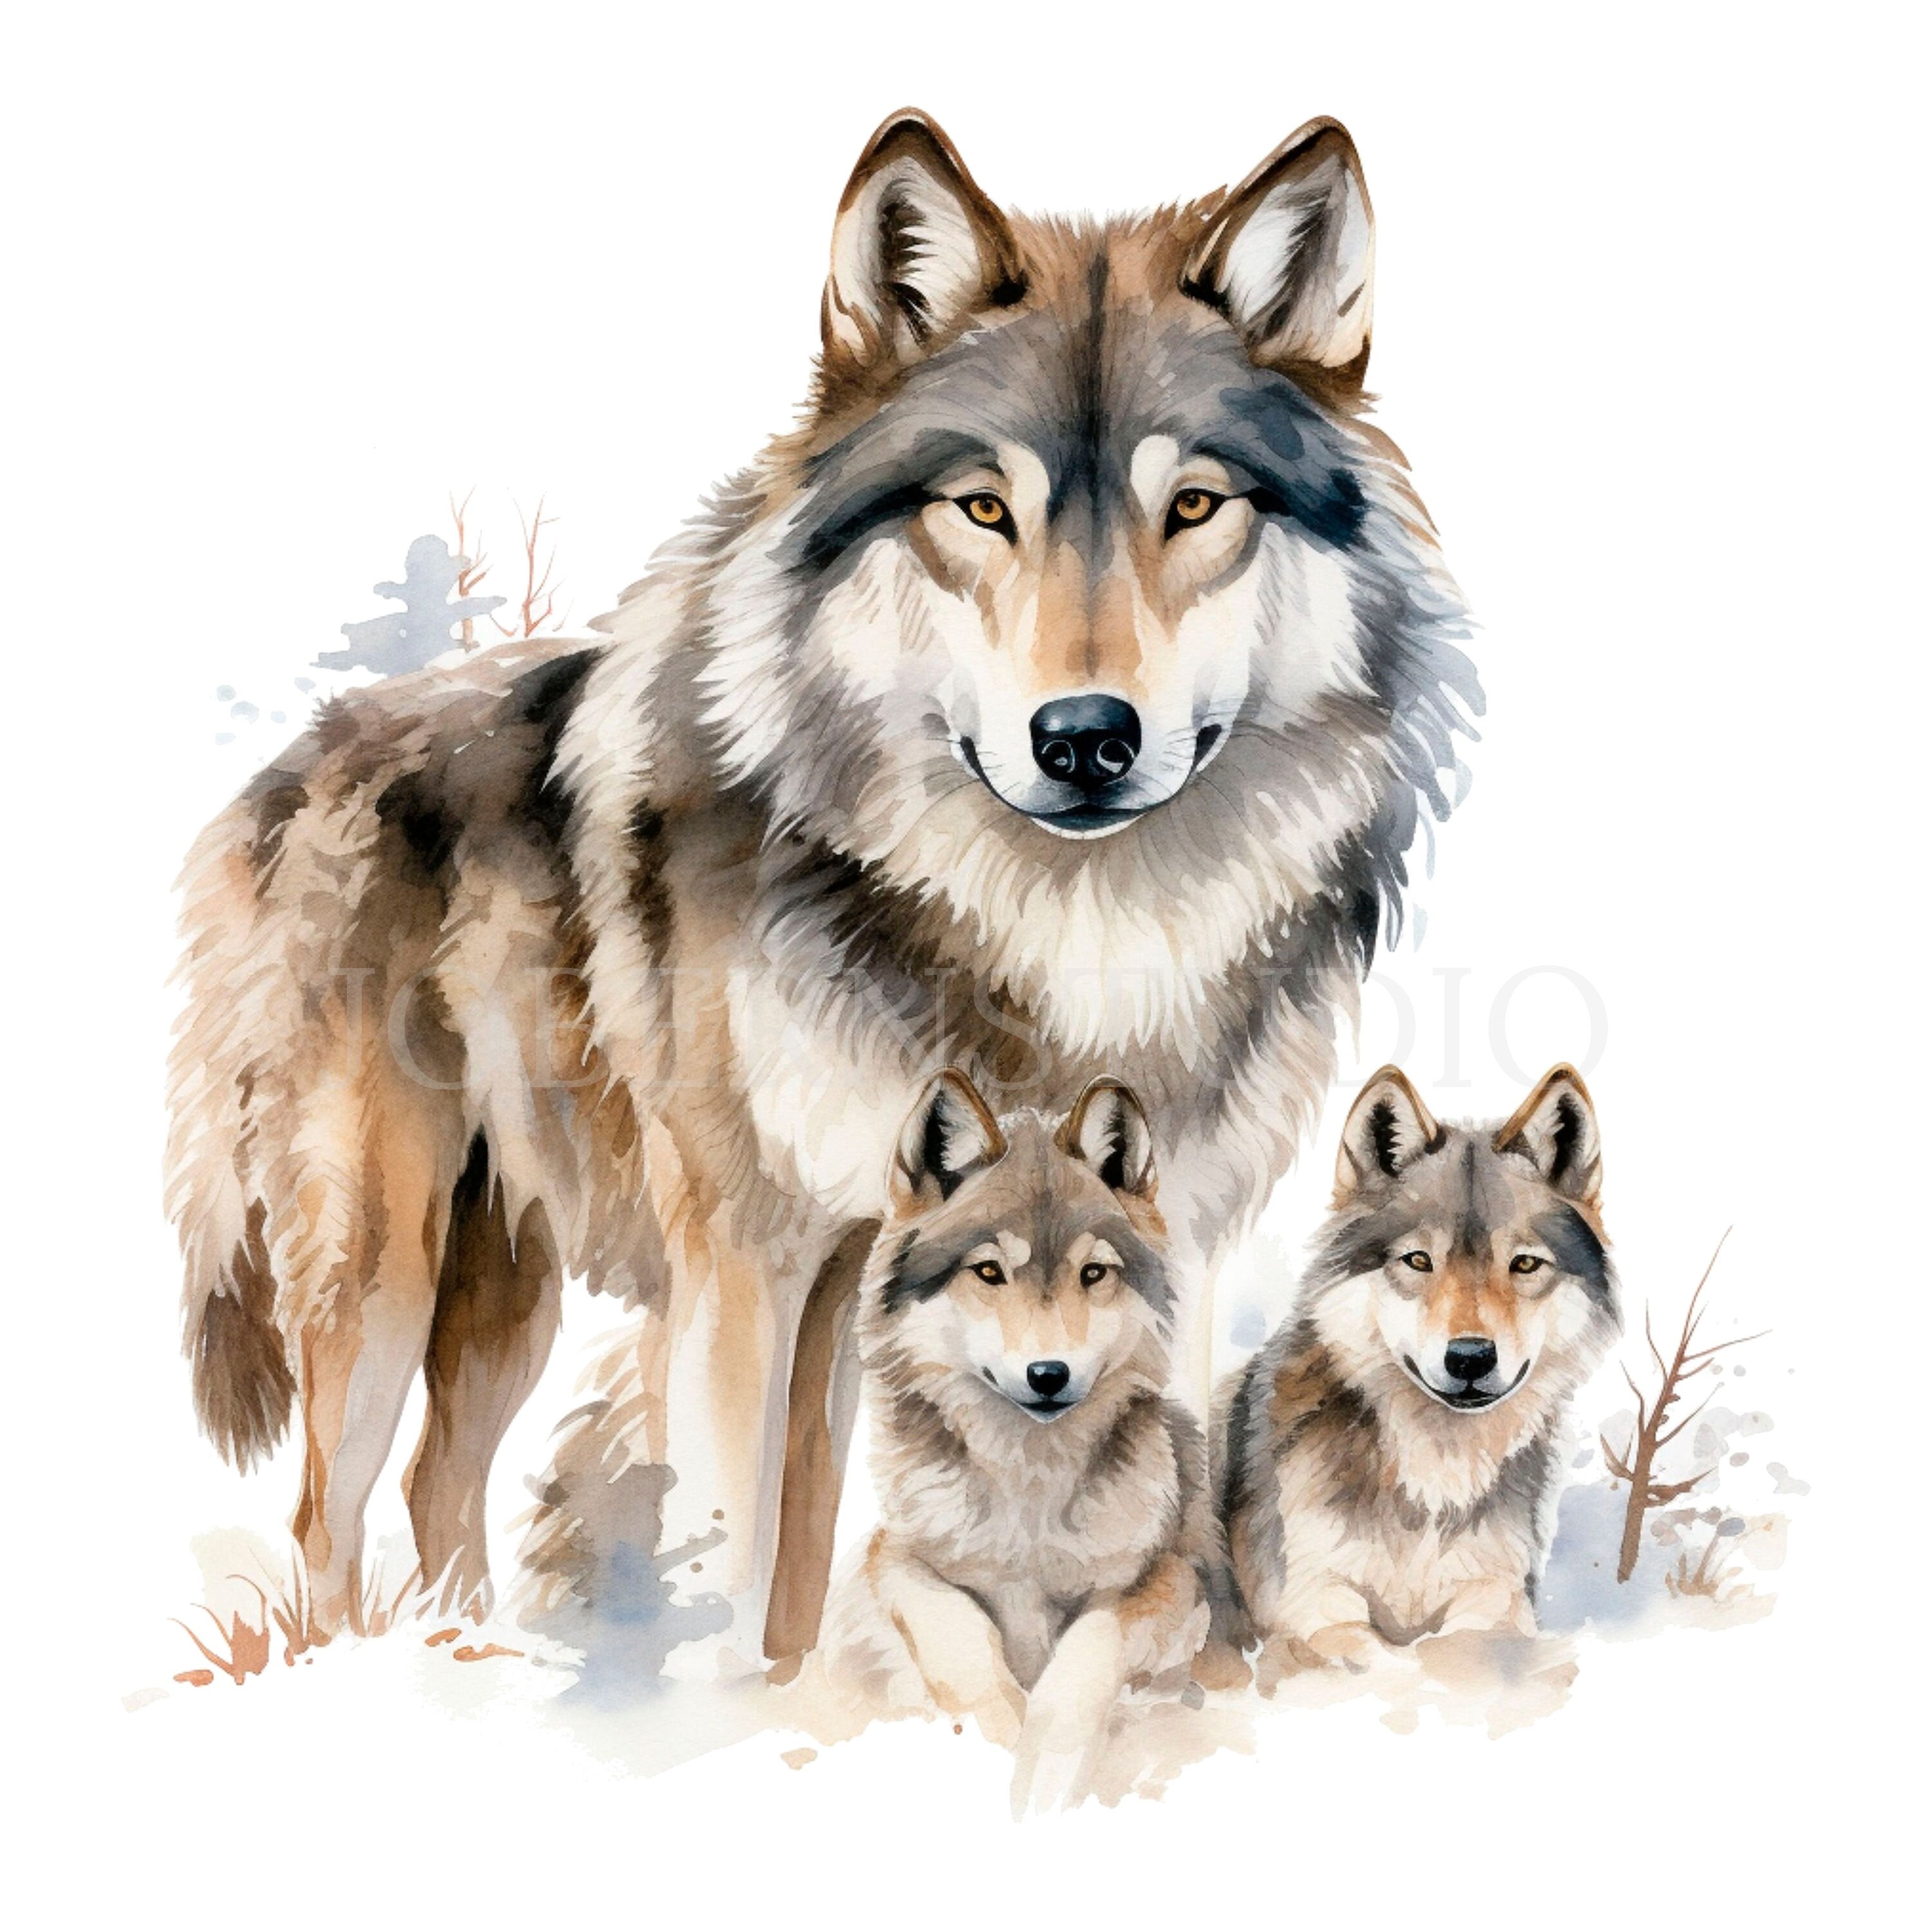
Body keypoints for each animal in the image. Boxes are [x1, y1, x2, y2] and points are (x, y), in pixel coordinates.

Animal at [166, 108, 1478, 1660]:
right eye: (982, 507)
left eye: (1199, 505)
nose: (1085, 737)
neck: (1055, 939)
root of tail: (282, 773)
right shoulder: (752, 1268)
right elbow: (731, 1563)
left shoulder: (1076, 1262)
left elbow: (808, 1578)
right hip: (379, 1277)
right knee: (328, 1515)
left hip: (506, 1289)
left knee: (439, 1487)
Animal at [819, 1069, 1212, 1811]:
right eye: (989, 1272)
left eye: (1094, 1274)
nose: (1049, 1374)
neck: (1027, 1491)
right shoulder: (896, 1556)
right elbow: (958, 1635)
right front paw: (997, 1740)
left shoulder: (1172, 1575)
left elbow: (1087, 1651)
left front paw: (1044, 1774)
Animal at [1217, 1065, 1619, 1671]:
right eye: (1419, 1261)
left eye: (1525, 1264)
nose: (1470, 1356)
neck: (1437, 1476)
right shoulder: (1314, 1608)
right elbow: (1394, 1663)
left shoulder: (1495, 1602)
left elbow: (1459, 1652)